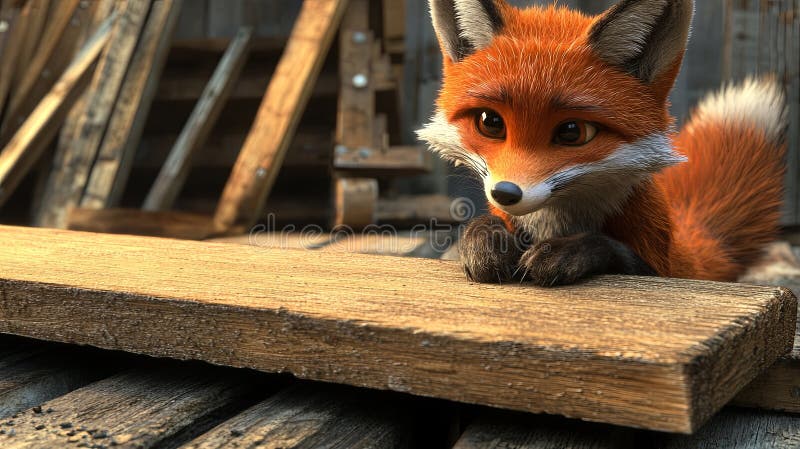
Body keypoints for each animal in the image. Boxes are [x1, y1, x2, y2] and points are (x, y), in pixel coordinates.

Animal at [418, 0, 788, 286]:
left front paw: (567, 252)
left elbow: (610, 248)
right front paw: (485, 242)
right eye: (490, 122)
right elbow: (480, 227)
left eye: (572, 132)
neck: (552, 224)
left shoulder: (658, 266)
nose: (506, 193)